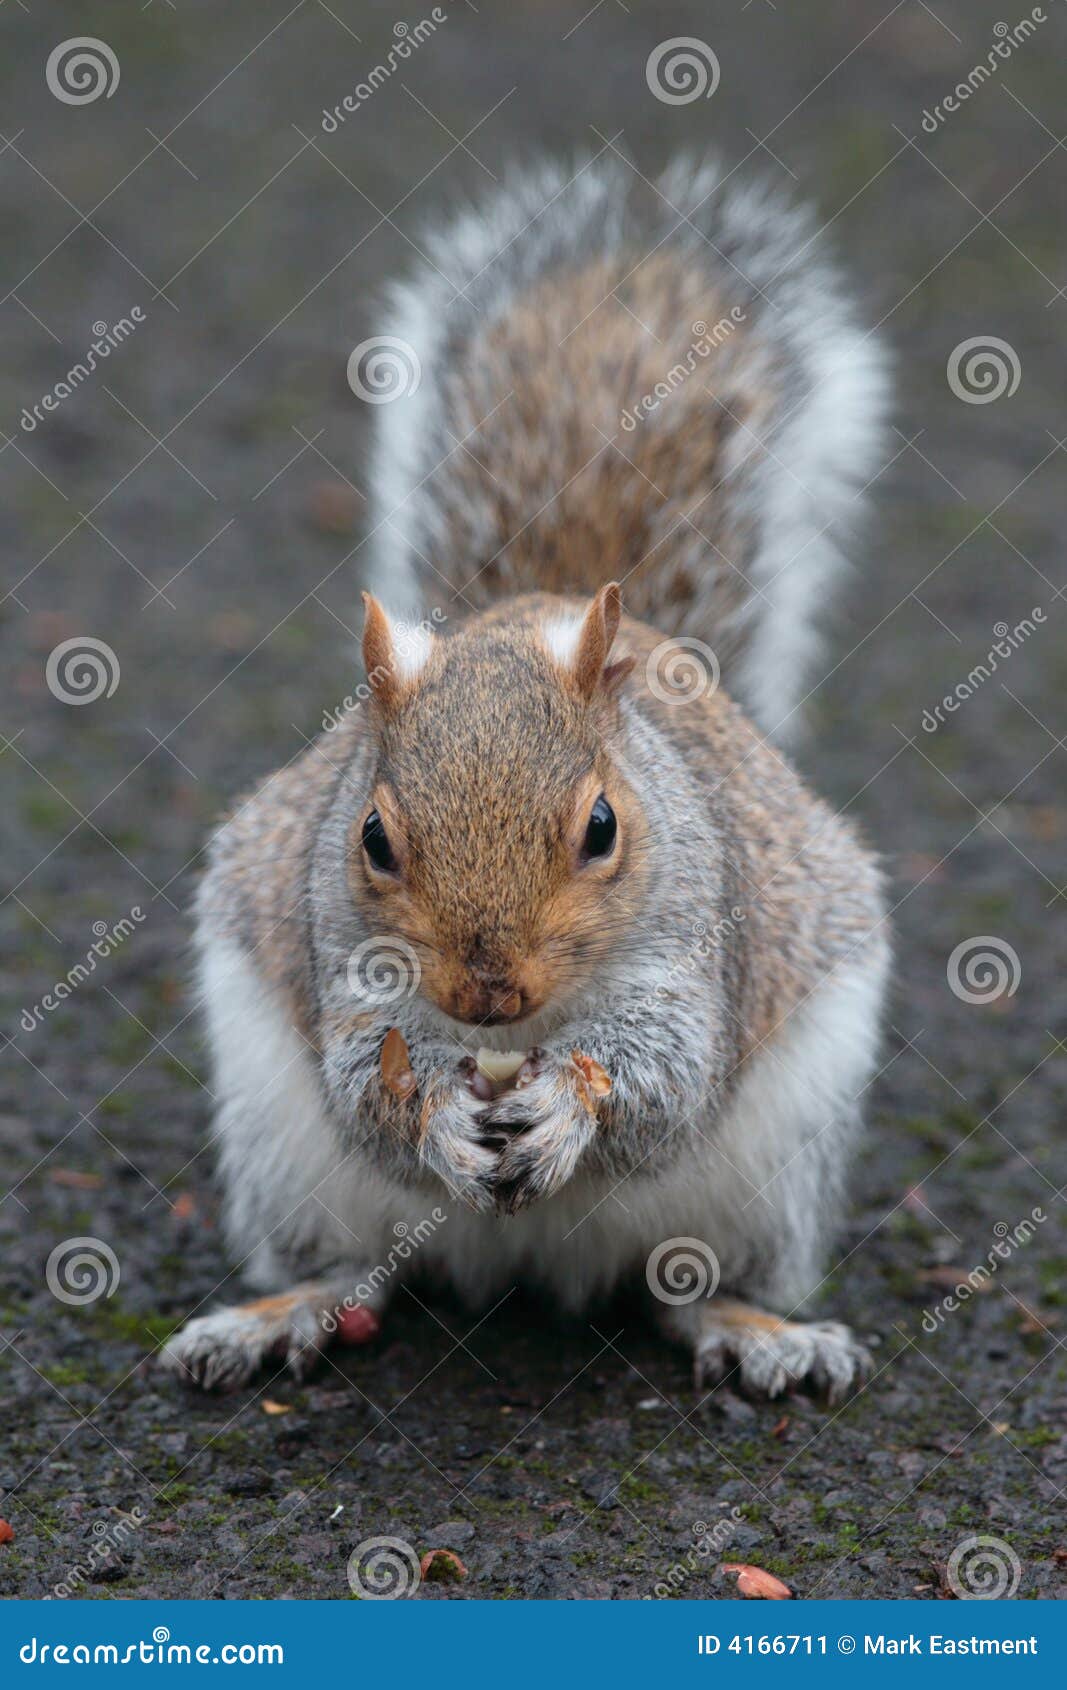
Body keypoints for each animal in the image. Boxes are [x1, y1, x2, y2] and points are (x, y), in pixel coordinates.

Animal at [162, 157, 890, 1401]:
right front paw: (433, 1116)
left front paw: (563, 1104)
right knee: (351, 1264)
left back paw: (757, 1330)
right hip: (284, 1145)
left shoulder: (697, 951)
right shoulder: (347, 967)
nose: (487, 995)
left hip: (774, 1164)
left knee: (685, 1285)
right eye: (371, 838)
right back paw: (277, 1312)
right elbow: (364, 1086)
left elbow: (664, 1083)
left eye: (602, 827)